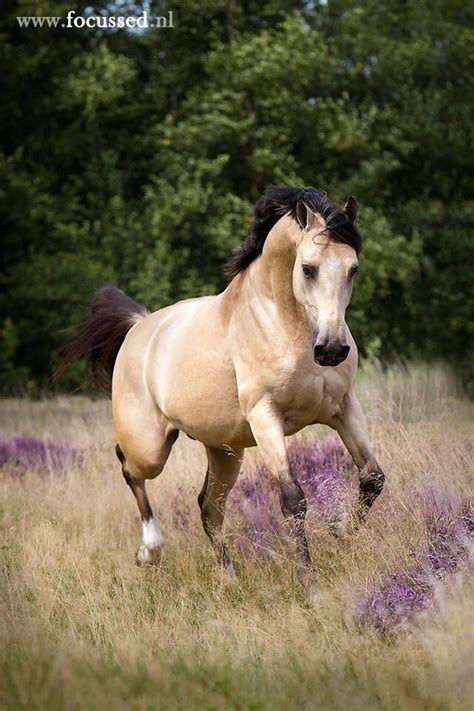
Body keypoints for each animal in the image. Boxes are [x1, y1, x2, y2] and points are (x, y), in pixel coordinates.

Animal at [56, 186, 385, 595]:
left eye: (353, 268)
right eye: (308, 268)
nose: (331, 350)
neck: (283, 322)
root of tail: (138, 326)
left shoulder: (343, 408)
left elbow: (372, 478)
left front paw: (340, 528)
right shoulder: (266, 417)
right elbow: (293, 498)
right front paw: (311, 586)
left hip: (225, 450)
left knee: (209, 507)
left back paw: (228, 577)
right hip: (151, 447)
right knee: (129, 466)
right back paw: (150, 549)